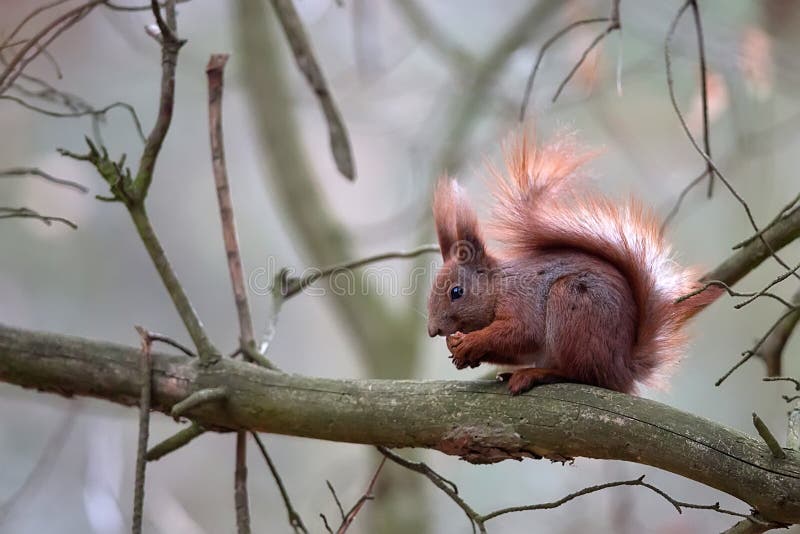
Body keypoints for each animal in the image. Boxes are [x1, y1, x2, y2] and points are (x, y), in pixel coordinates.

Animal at [426, 132, 721, 395]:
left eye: (456, 292)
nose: (433, 331)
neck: (499, 287)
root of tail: (622, 370)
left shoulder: (522, 301)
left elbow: (522, 332)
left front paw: (469, 342)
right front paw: (462, 353)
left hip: (571, 305)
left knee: (580, 374)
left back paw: (535, 374)